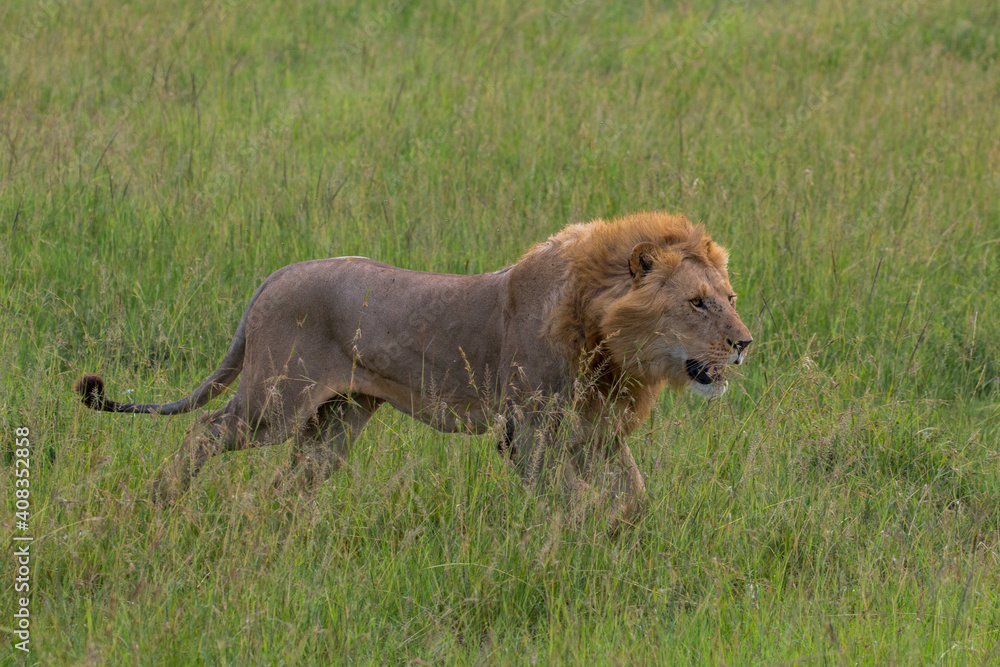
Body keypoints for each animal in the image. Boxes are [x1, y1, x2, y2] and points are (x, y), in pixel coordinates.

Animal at [74, 212, 751, 525]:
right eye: (697, 303)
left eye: (729, 296)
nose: (745, 343)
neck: (605, 337)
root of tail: (276, 275)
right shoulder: (526, 430)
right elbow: (572, 498)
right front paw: (580, 539)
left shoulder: (595, 429)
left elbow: (632, 495)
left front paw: (621, 538)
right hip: (276, 400)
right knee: (207, 428)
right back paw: (159, 501)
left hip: (337, 419)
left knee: (289, 481)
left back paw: (287, 531)